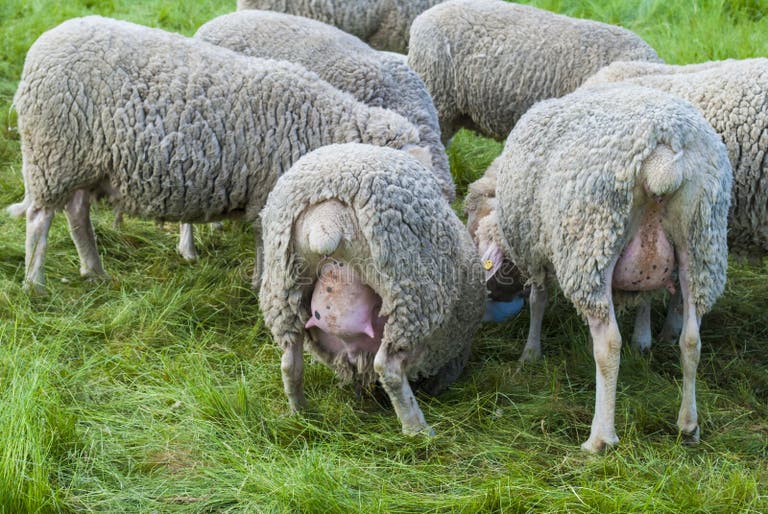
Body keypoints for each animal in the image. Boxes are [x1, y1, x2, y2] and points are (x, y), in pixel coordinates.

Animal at [11, 16, 432, 294]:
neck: (323, 130)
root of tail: (43, 43)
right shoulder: (268, 197)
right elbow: (267, 249)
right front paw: (261, 285)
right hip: (52, 154)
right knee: (39, 219)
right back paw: (35, 284)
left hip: (83, 164)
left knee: (77, 214)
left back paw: (94, 271)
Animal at [259, 143, 485, 435]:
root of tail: (327, 220)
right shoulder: (453, 354)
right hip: (410, 296)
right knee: (388, 367)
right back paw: (418, 430)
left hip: (282, 292)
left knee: (290, 363)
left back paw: (303, 414)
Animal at [470, 83, 732, 451]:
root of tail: (665, 148)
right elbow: (645, 300)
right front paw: (643, 340)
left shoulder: (536, 249)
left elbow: (538, 301)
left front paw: (530, 353)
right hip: (700, 244)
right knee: (692, 340)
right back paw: (688, 426)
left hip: (590, 243)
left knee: (608, 344)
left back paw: (600, 438)